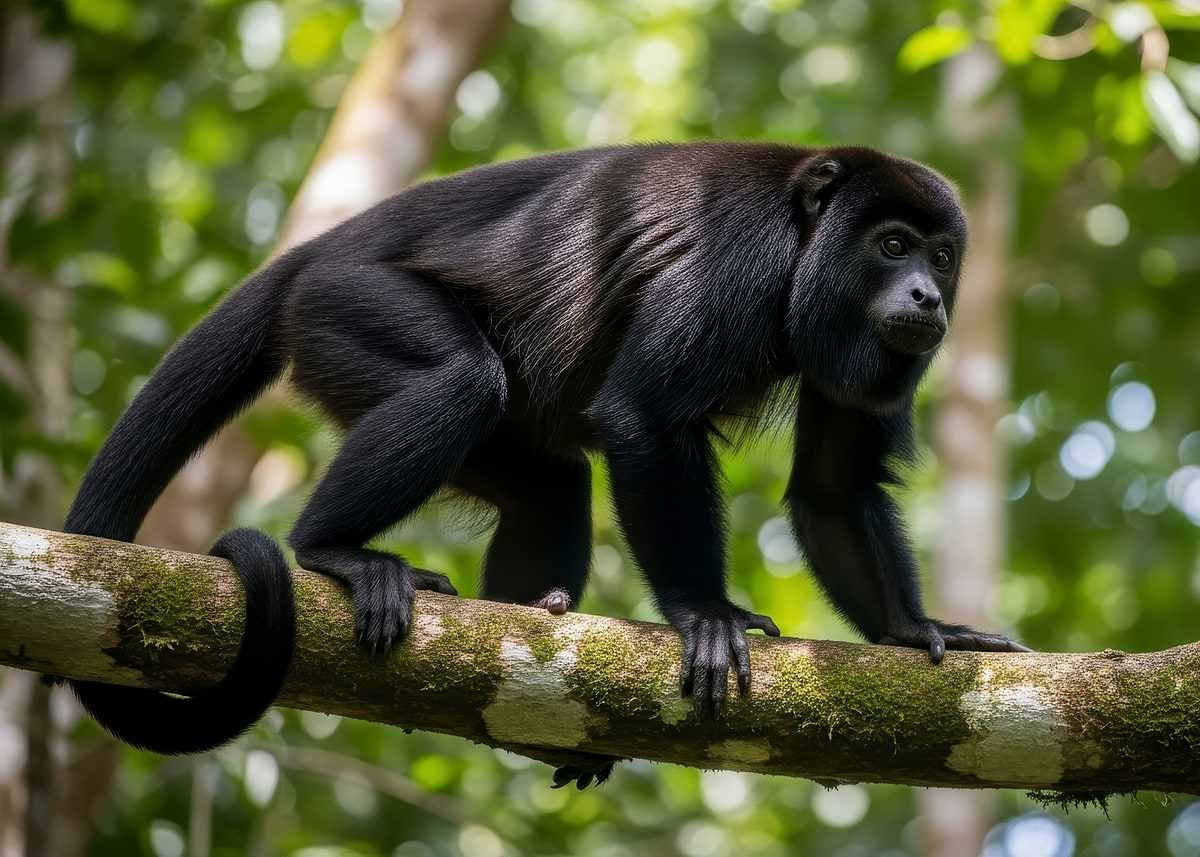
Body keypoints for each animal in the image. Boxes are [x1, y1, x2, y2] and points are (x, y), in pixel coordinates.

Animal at [59, 141, 1030, 785]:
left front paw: (912, 627)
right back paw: (333, 550)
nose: (929, 297)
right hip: (344, 306)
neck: (807, 239)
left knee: (552, 485)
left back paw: (538, 636)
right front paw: (705, 615)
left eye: (943, 255)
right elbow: (644, 413)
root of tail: (313, 253)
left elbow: (831, 488)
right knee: (459, 380)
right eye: (892, 245)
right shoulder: (739, 259)